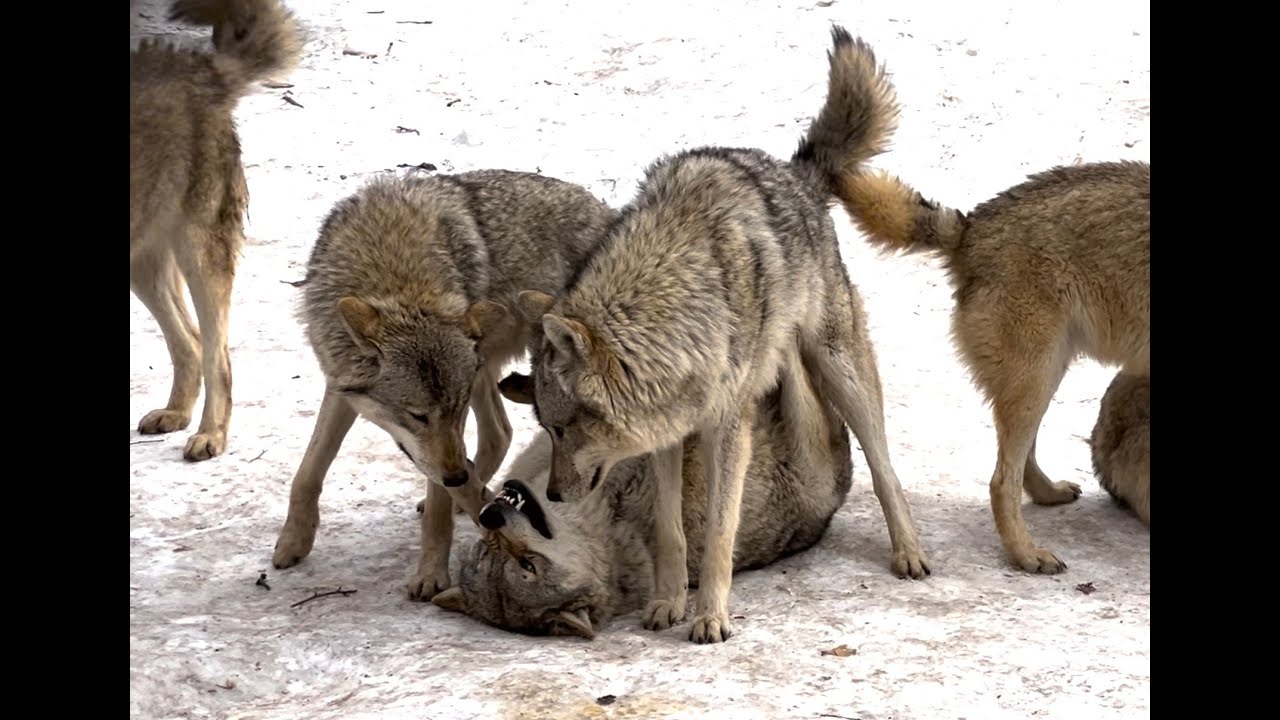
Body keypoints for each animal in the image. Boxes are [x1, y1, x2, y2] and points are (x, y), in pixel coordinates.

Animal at [130, 0, 303, 461]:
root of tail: (202, 66)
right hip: (145, 266)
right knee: (190, 342)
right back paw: (175, 414)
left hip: (200, 254)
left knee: (217, 357)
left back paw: (210, 435)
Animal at [270, 170, 617, 600]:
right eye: (417, 415)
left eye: (453, 409)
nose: (454, 476)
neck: (394, 268)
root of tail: (607, 211)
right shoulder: (339, 386)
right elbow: (309, 470)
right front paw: (293, 541)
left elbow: (437, 505)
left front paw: (432, 572)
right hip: (484, 366)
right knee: (500, 433)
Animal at [511, 28, 929, 644]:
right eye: (546, 429)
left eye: (562, 428)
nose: (555, 495)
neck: (675, 314)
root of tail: (793, 173)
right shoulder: (668, 434)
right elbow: (670, 530)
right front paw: (666, 605)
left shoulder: (729, 429)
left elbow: (718, 533)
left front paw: (710, 617)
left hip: (840, 368)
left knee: (883, 468)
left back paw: (909, 552)